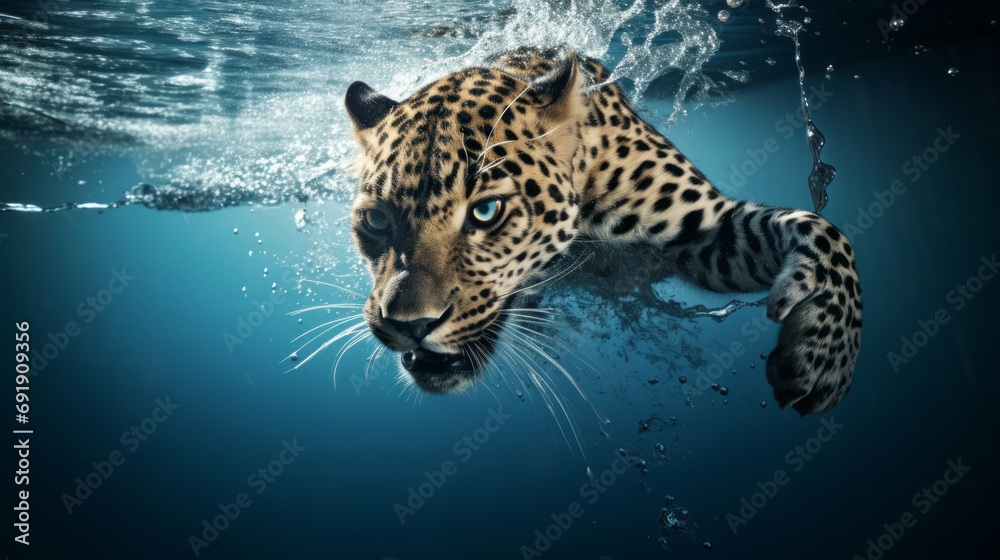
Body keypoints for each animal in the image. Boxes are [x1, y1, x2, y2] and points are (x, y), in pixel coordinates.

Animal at [343, 49, 862, 415]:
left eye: (487, 211)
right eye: (377, 220)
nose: (410, 325)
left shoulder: (710, 229)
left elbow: (824, 229)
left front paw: (826, 358)